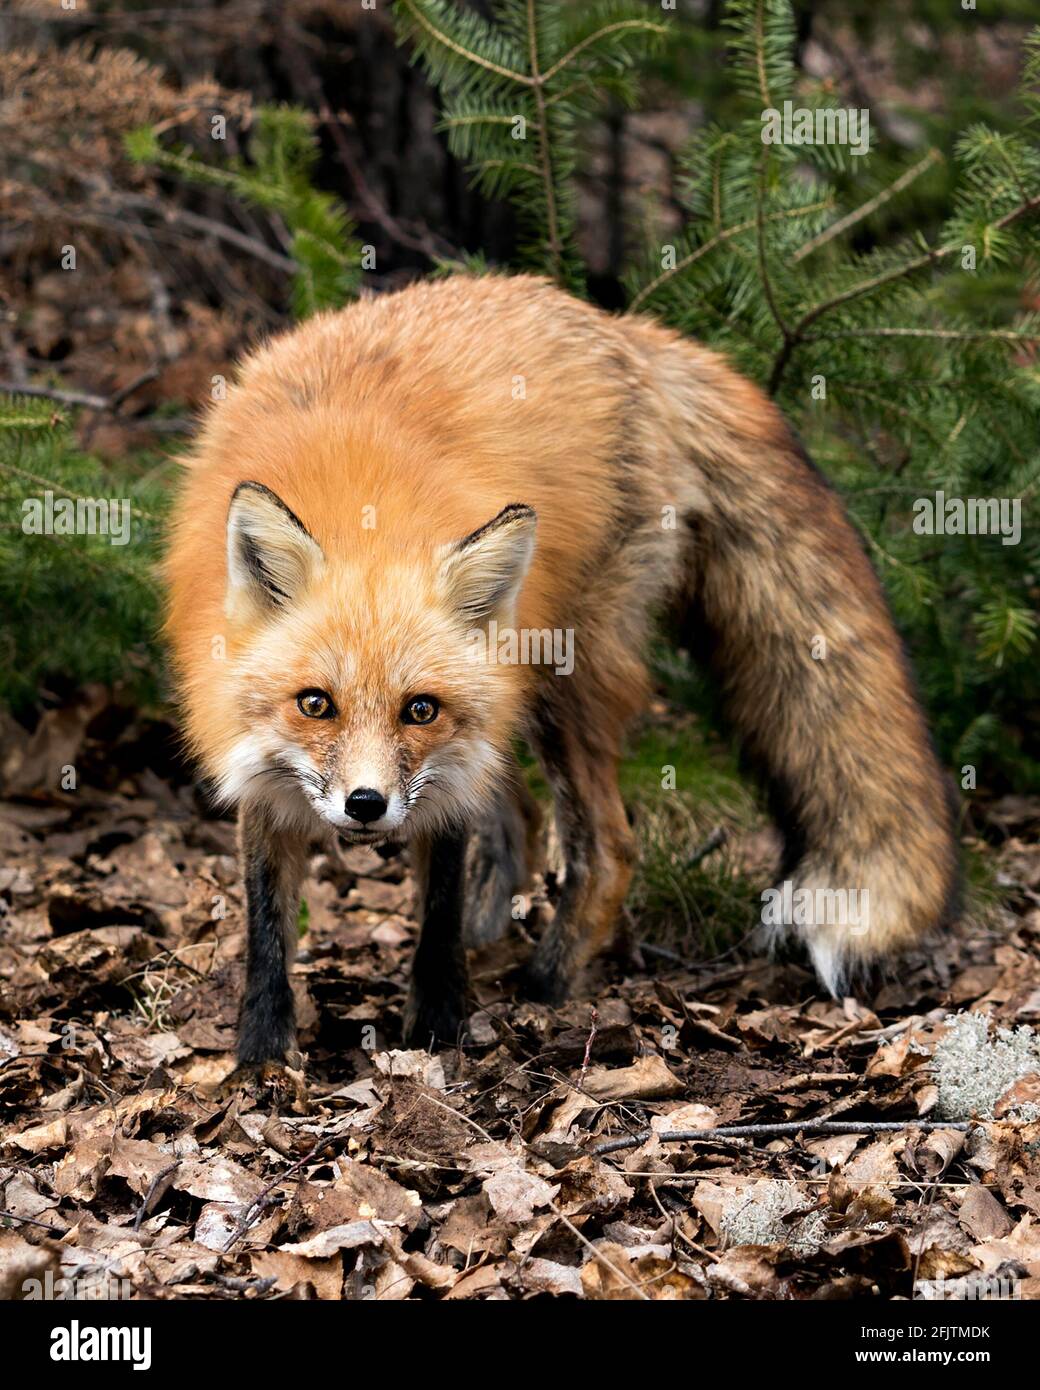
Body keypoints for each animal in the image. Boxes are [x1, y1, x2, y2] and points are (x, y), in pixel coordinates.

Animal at [163, 273, 959, 1069]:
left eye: (419, 708)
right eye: (315, 704)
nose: (367, 805)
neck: (364, 512)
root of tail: (625, 328)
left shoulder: (446, 766)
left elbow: (439, 902)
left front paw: (437, 1025)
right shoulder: (259, 759)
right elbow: (267, 924)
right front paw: (262, 1052)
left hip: (562, 677)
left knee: (608, 850)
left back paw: (544, 984)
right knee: (521, 823)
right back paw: (493, 937)